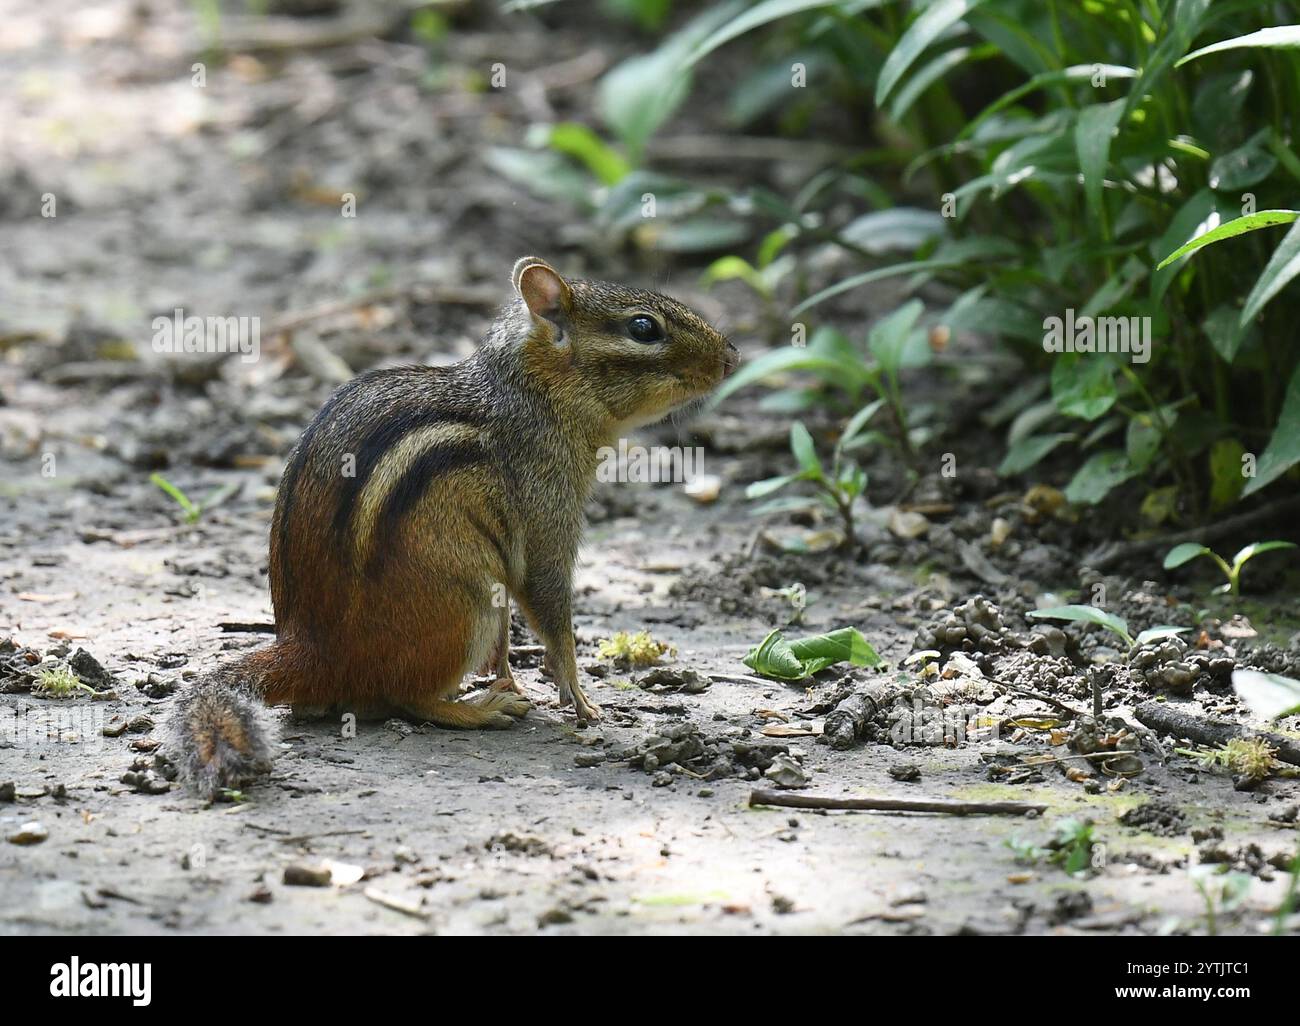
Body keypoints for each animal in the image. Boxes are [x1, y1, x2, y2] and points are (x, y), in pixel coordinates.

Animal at [166, 257, 738, 797]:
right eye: (644, 328)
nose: (732, 354)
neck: (532, 396)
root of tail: (311, 651)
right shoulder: (545, 511)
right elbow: (549, 603)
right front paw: (578, 697)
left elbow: (510, 638)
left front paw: (515, 679)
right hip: (467, 599)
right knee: (405, 697)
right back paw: (479, 710)